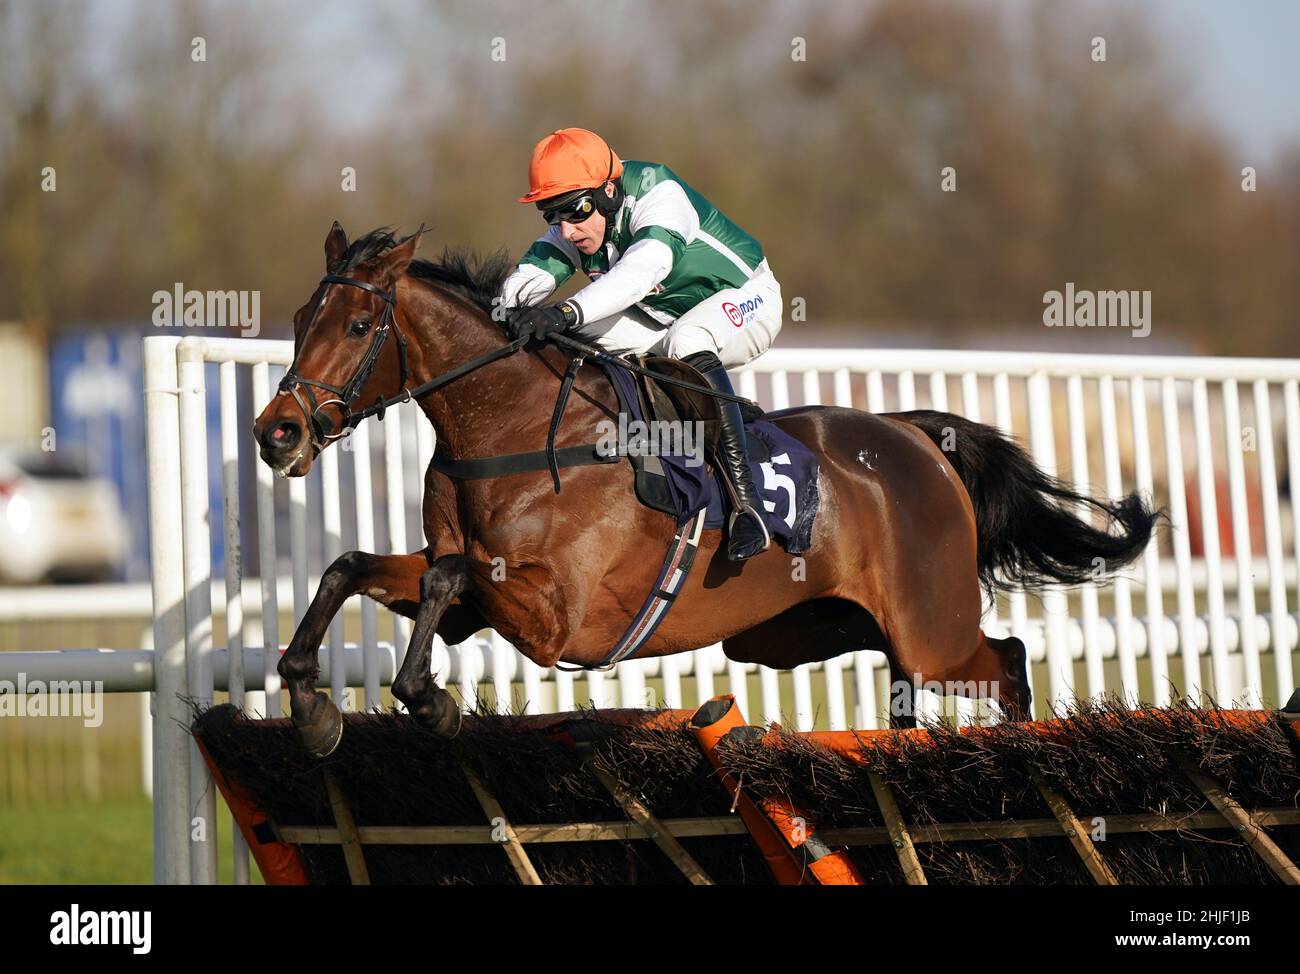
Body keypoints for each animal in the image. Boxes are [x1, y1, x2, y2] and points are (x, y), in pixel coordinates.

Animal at [252, 223, 1158, 755]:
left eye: (359, 327)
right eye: (299, 321)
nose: (277, 433)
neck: (511, 430)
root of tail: (913, 436)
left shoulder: (559, 618)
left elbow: (445, 576)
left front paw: (427, 700)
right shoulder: (477, 597)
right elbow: (352, 566)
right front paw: (309, 702)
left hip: (934, 628)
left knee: (1007, 660)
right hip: (800, 631)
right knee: (909, 682)